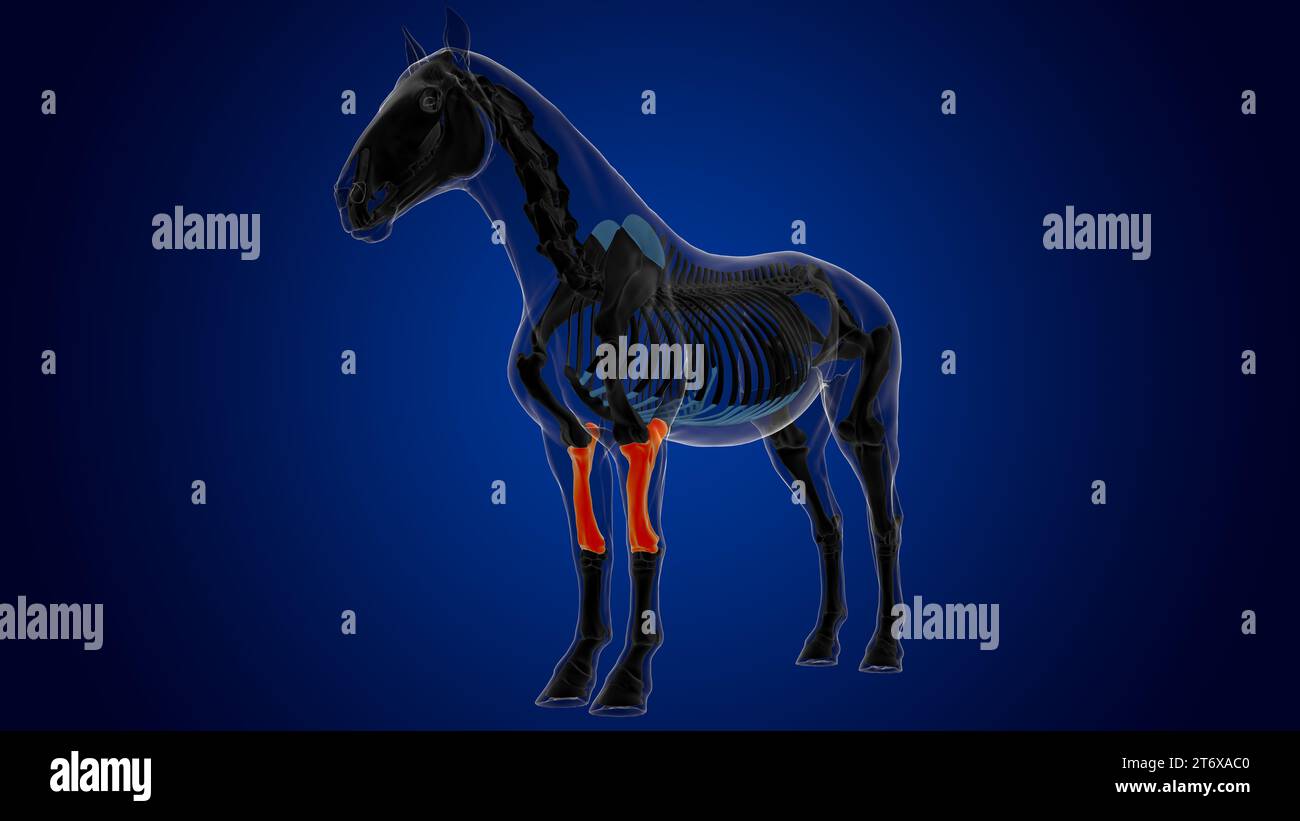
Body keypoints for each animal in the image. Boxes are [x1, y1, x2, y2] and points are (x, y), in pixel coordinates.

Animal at [334, 10, 904, 716]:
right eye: (388, 97)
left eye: (432, 101)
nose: (352, 201)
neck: (580, 281)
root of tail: (860, 291)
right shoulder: (566, 438)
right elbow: (590, 547)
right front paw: (572, 675)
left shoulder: (641, 435)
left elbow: (643, 545)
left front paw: (628, 682)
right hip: (792, 433)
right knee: (830, 526)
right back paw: (821, 645)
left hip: (863, 422)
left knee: (884, 521)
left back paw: (882, 652)